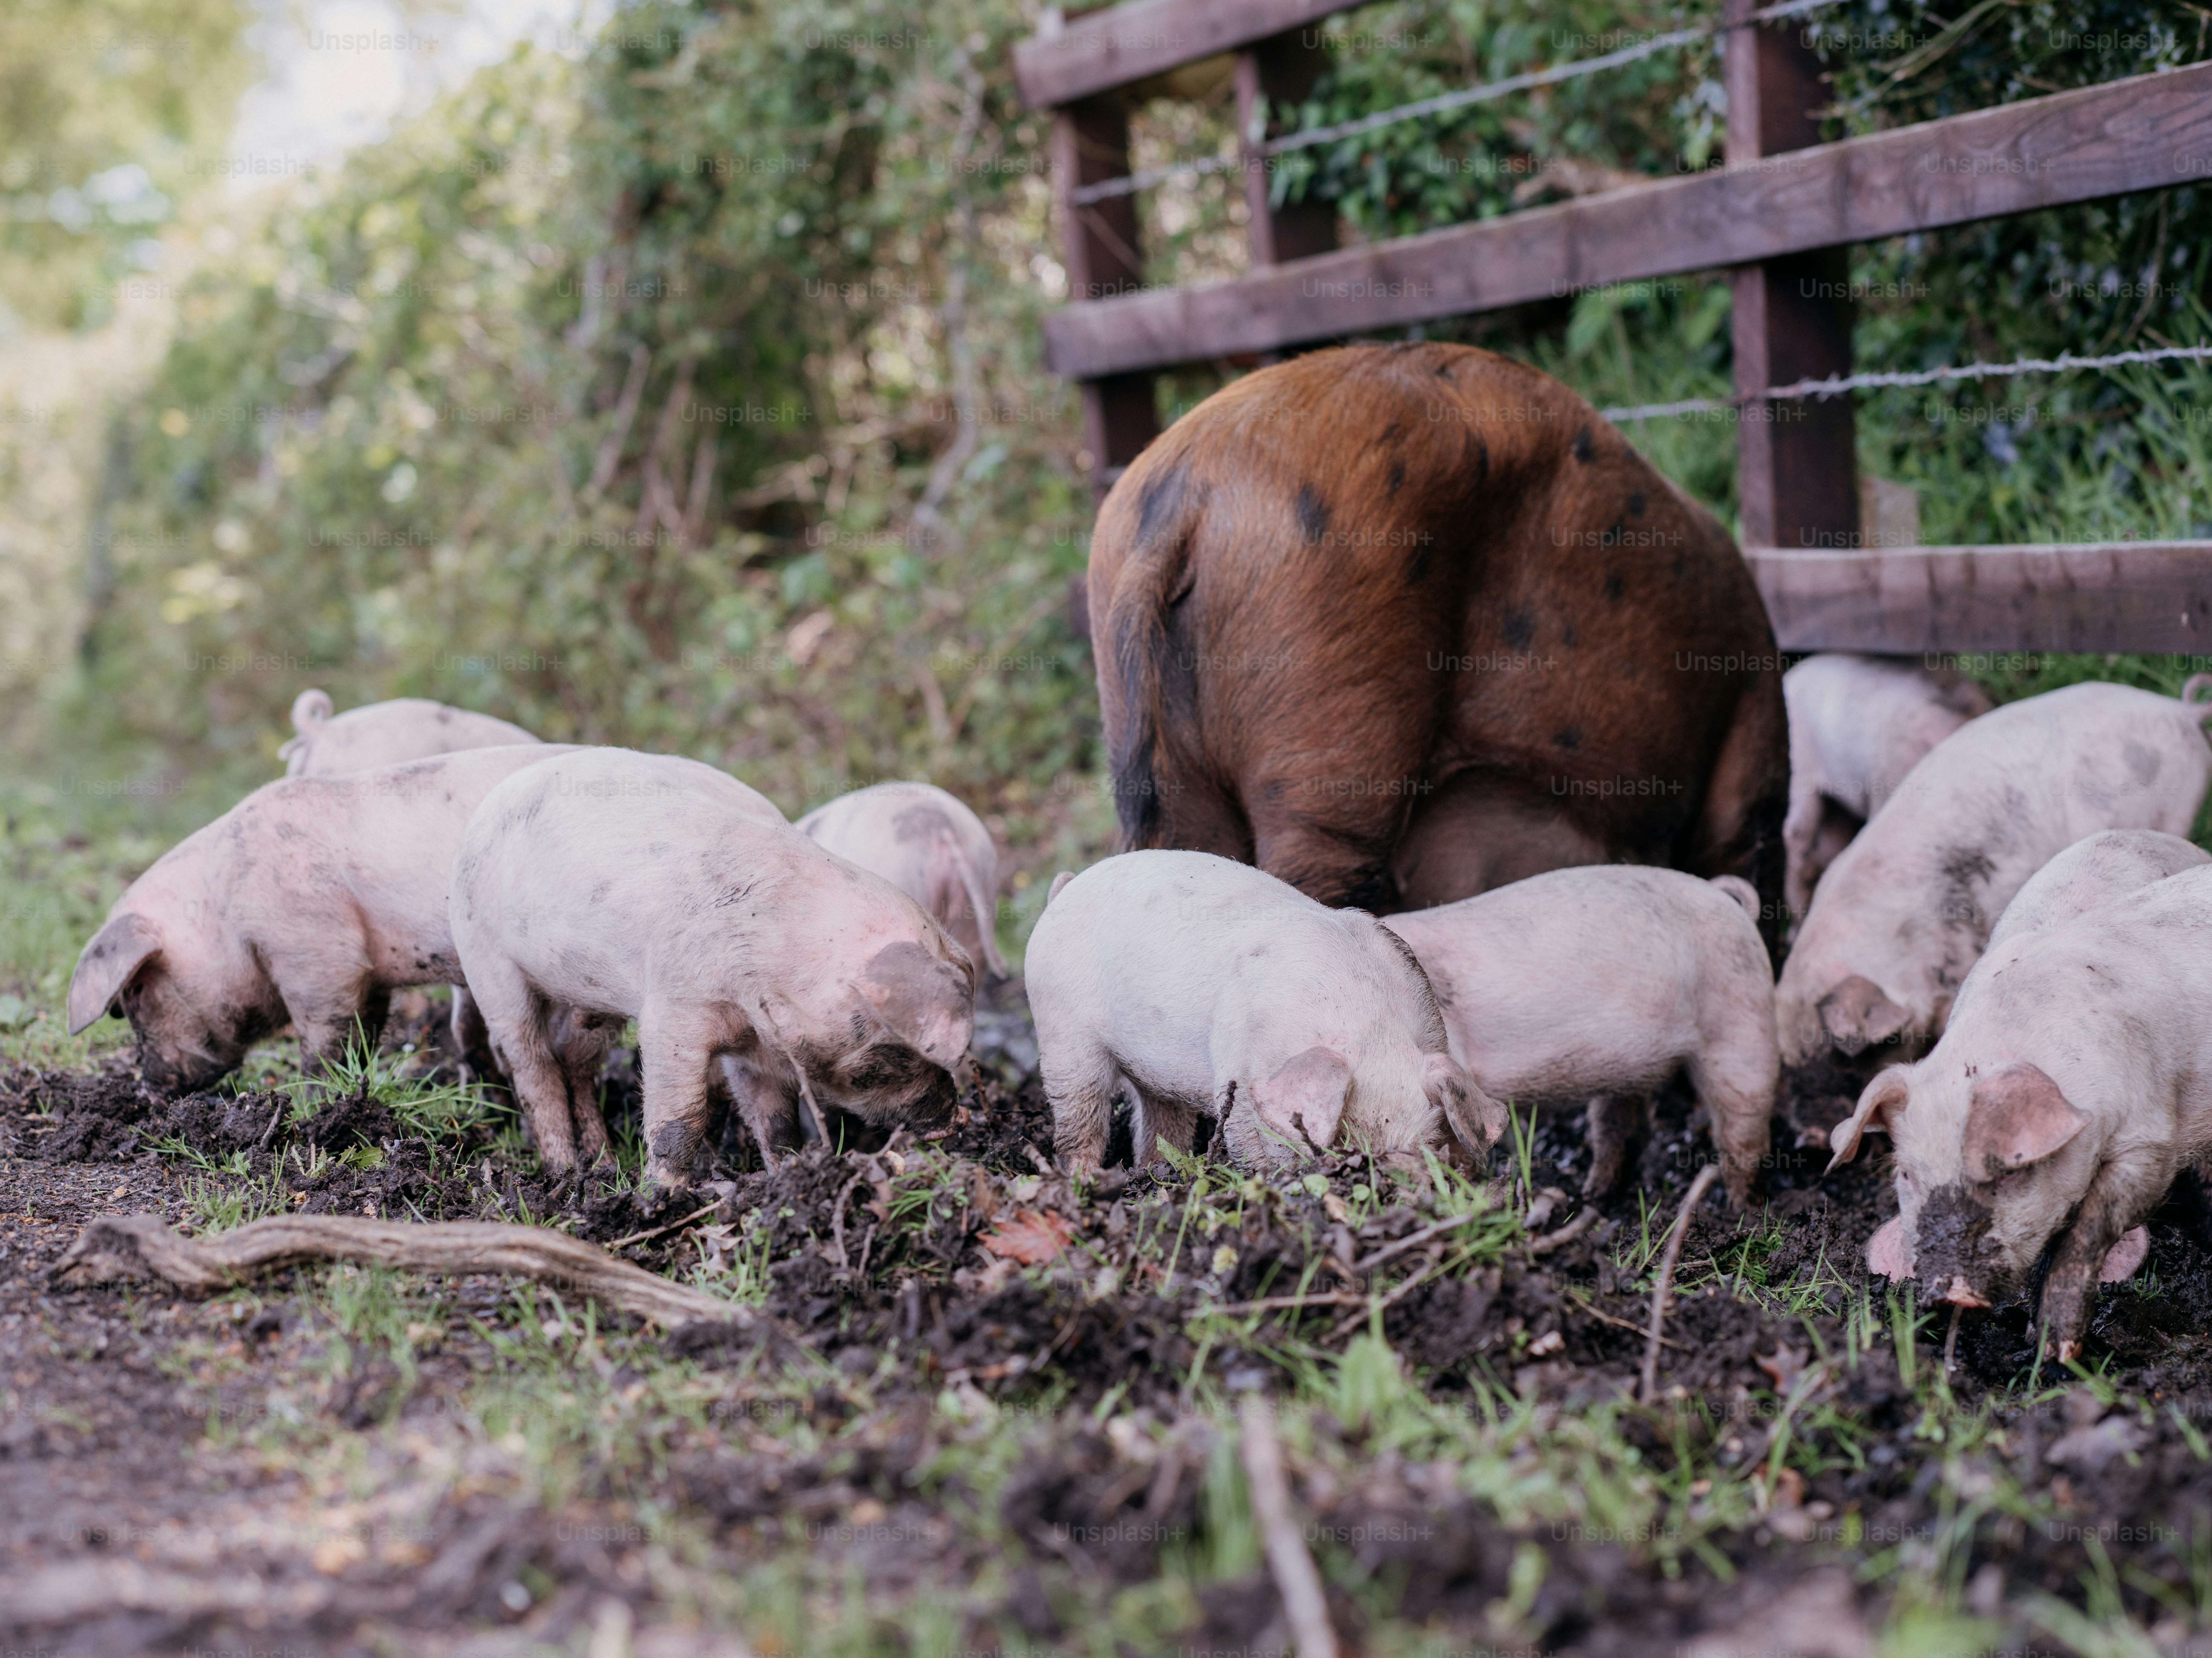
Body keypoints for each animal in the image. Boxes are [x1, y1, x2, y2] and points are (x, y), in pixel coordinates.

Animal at [65, 745, 589, 1090]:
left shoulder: (315, 950)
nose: (149, 1089)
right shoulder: (371, 974)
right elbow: (363, 1033)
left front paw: (314, 1102)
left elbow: (322, 1034)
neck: (224, 909)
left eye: (134, 993)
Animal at [449, 748, 975, 1181]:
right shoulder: (671, 1012)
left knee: (572, 1058)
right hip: (486, 958)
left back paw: (599, 1164)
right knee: (531, 1063)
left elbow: (775, 1118)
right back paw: (564, 1171)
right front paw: (660, 1198)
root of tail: (494, 802)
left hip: (585, 995)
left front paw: (788, 1178)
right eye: (885, 1060)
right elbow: (679, 1120)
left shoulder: (756, 1043)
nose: (952, 1123)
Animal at [1025, 850, 1493, 1172]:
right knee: (1079, 1119)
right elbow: (1250, 1143)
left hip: (1151, 1071)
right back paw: (1087, 1180)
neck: (1370, 1025)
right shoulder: (1240, 1076)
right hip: (1061, 1031)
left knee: (1160, 1119)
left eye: (1426, 1145)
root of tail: (1065, 888)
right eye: (1339, 1139)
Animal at [1381, 867, 1777, 1206]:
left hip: (1742, 1018)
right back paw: (1594, 1195)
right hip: (1628, 1070)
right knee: (1624, 1127)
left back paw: (1743, 1210)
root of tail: (1728, 901)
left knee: (1744, 1123)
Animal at [1827, 863, 2212, 1359]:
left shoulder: (2149, 1139)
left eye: (2009, 1172)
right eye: (1907, 1174)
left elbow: (2087, 1230)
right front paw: (2031, 1341)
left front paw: (2057, 1353)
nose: (1953, 1293)